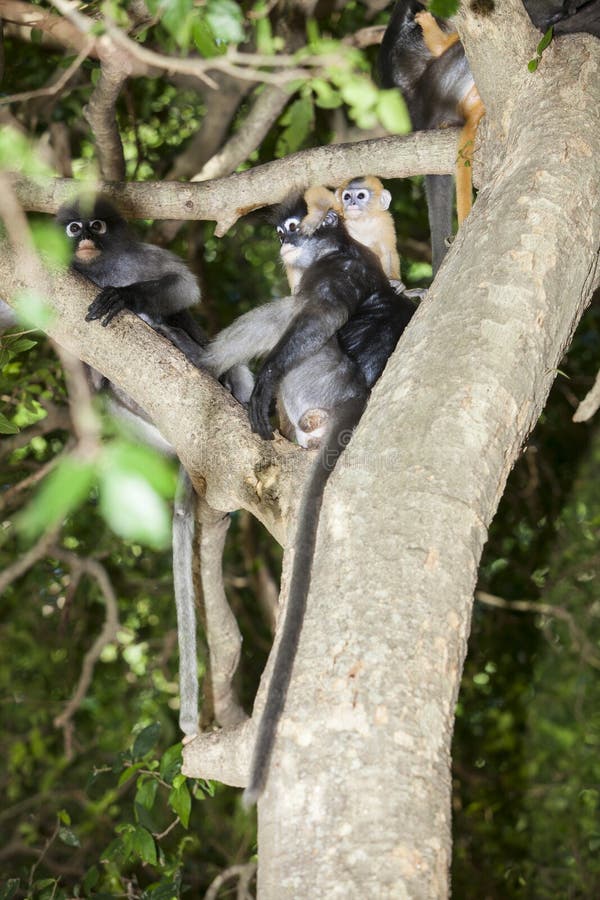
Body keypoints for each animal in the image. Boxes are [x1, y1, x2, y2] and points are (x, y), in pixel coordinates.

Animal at [56, 195, 253, 738]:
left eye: (97, 225)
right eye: (75, 227)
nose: (86, 237)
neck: (101, 267)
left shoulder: (139, 258)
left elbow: (183, 284)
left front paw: (126, 299)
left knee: (223, 355)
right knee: (106, 390)